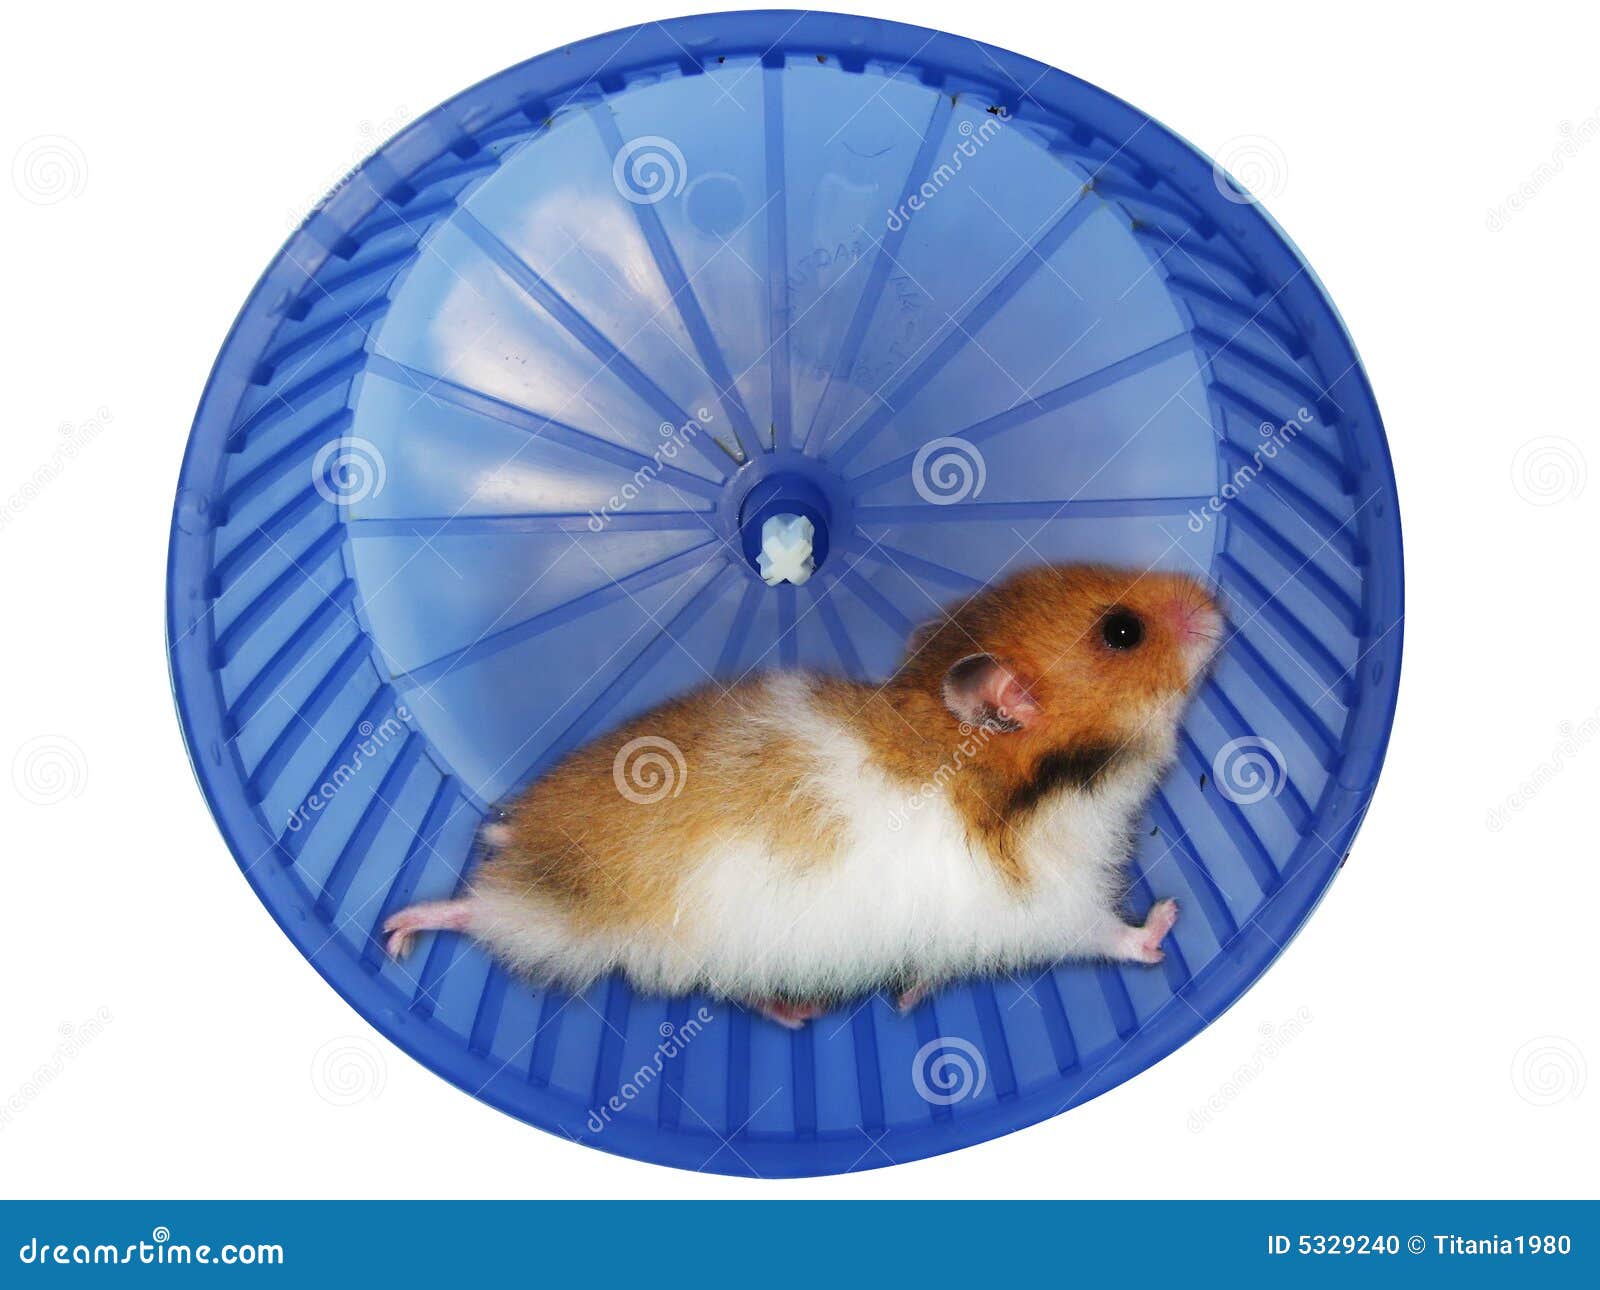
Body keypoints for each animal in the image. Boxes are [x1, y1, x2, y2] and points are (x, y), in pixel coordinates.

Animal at [385, 562, 1223, 1028]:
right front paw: (1169, 920)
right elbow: (1115, 937)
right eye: (1122, 632)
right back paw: (400, 933)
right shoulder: (1055, 906)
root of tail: (519, 828)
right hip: (567, 919)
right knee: (480, 912)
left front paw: (908, 1001)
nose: (1218, 604)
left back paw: (798, 1014)